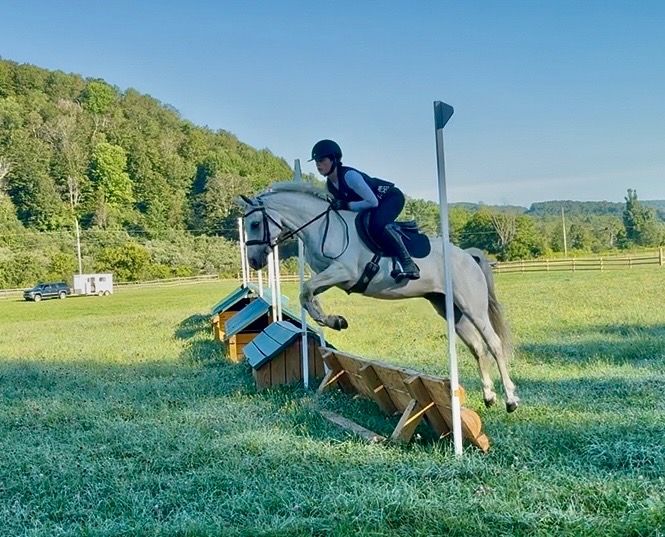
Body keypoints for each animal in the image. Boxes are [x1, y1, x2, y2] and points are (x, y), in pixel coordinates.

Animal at [237, 182, 520, 412]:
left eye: (255, 224)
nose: (254, 261)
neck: (322, 226)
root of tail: (469, 256)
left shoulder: (343, 271)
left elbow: (305, 290)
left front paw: (333, 321)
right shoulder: (332, 278)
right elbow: (306, 294)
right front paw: (334, 321)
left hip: (472, 306)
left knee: (493, 343)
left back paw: (510, 399)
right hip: (450, 309)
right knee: (477, 347)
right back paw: (489, 396)